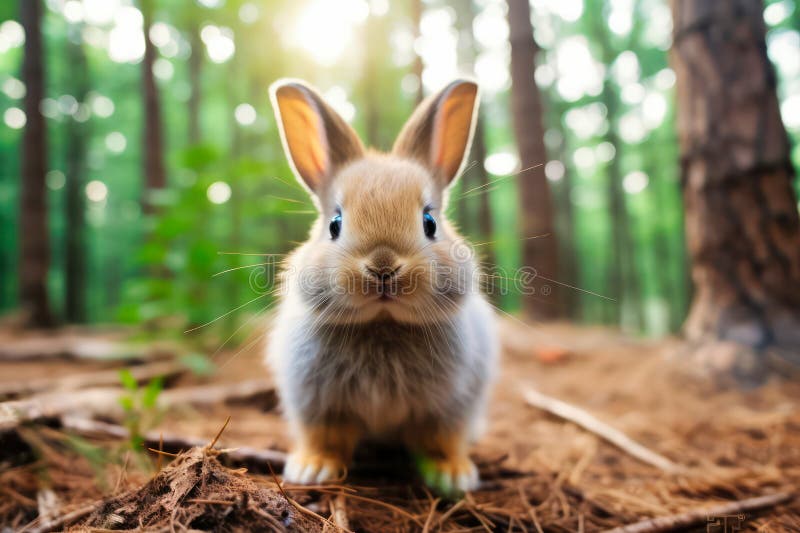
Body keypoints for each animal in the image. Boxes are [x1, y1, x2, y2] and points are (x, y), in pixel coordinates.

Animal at [265, 78, 498, 495]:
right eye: (335, 224)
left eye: (429, 223)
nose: (383, 268)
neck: (382, 322)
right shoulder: (318, 403)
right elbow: (325, 438)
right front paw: (312, 470)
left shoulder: (448, 405)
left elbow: (440, 440)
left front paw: (452, 476)